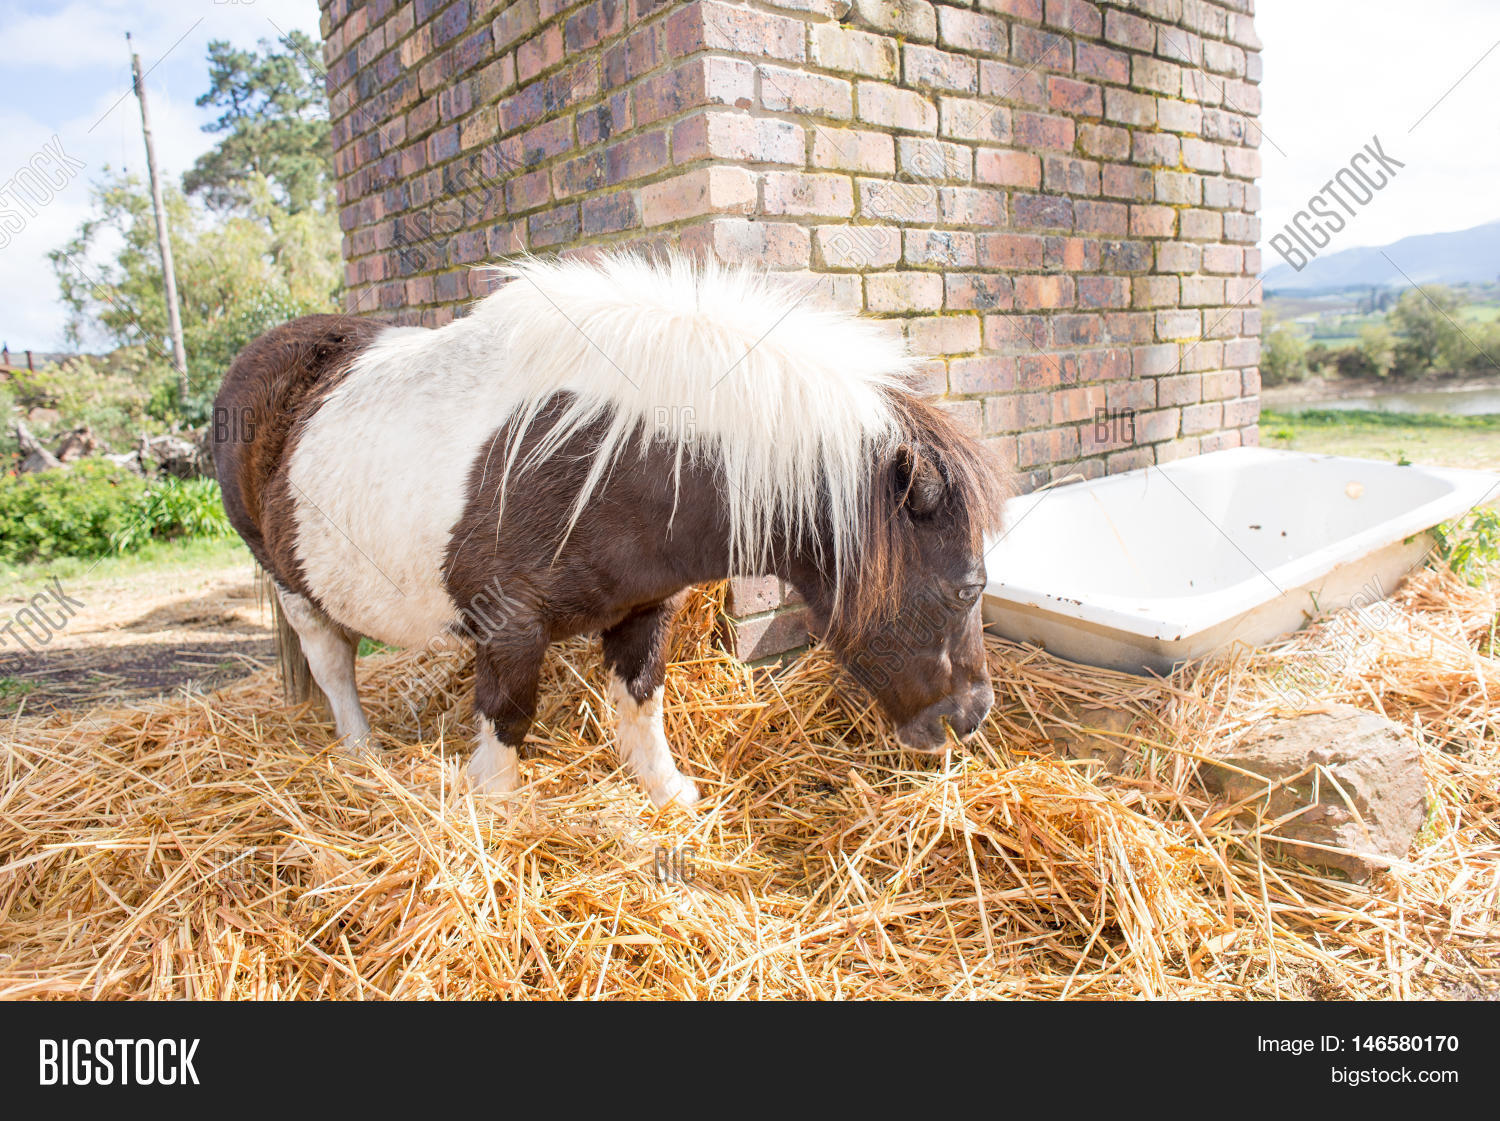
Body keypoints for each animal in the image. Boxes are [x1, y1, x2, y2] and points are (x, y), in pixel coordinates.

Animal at [212, 252, 1010, 808]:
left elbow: (642, 701)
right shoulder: (507, 629)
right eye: (969, 589)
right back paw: (360, 751)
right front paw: (494, 808)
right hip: (290, 583)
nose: (971, 718)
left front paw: (667, 793)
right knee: (332, 662)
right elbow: (508, 717)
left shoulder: (644, 609)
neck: (614, 457)